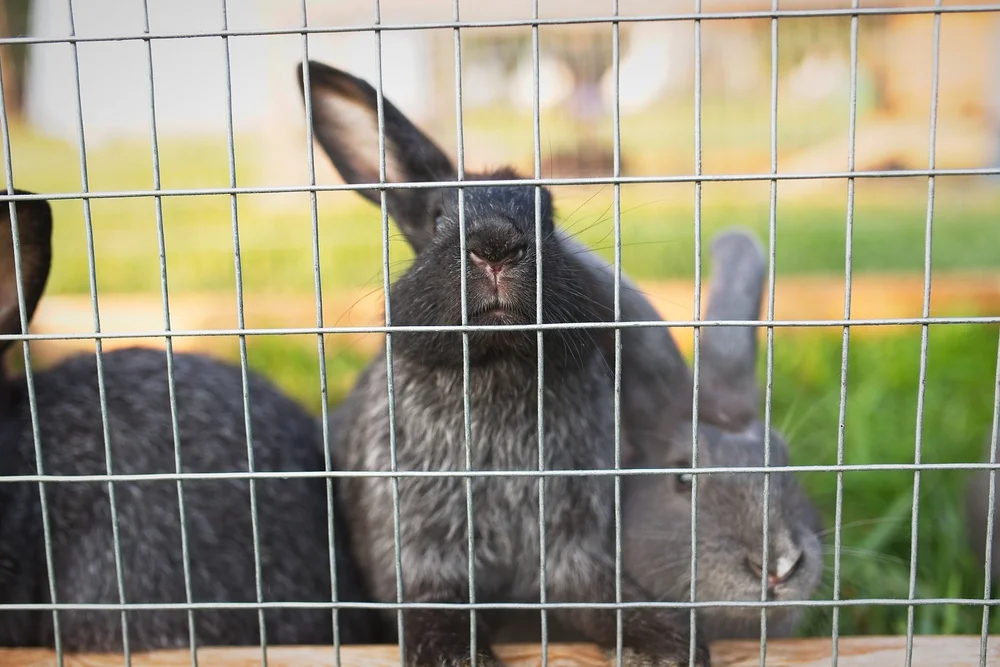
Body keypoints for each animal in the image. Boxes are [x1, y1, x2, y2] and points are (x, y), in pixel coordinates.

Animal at [298, 60, 710, 667]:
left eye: (548, 214)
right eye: (437, 217)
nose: (495, 244)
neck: (497, 364)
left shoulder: (573, 545)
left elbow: (603, 597)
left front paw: (669, 644)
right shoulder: (423, 555)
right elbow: (436, 610)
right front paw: (456, 657)